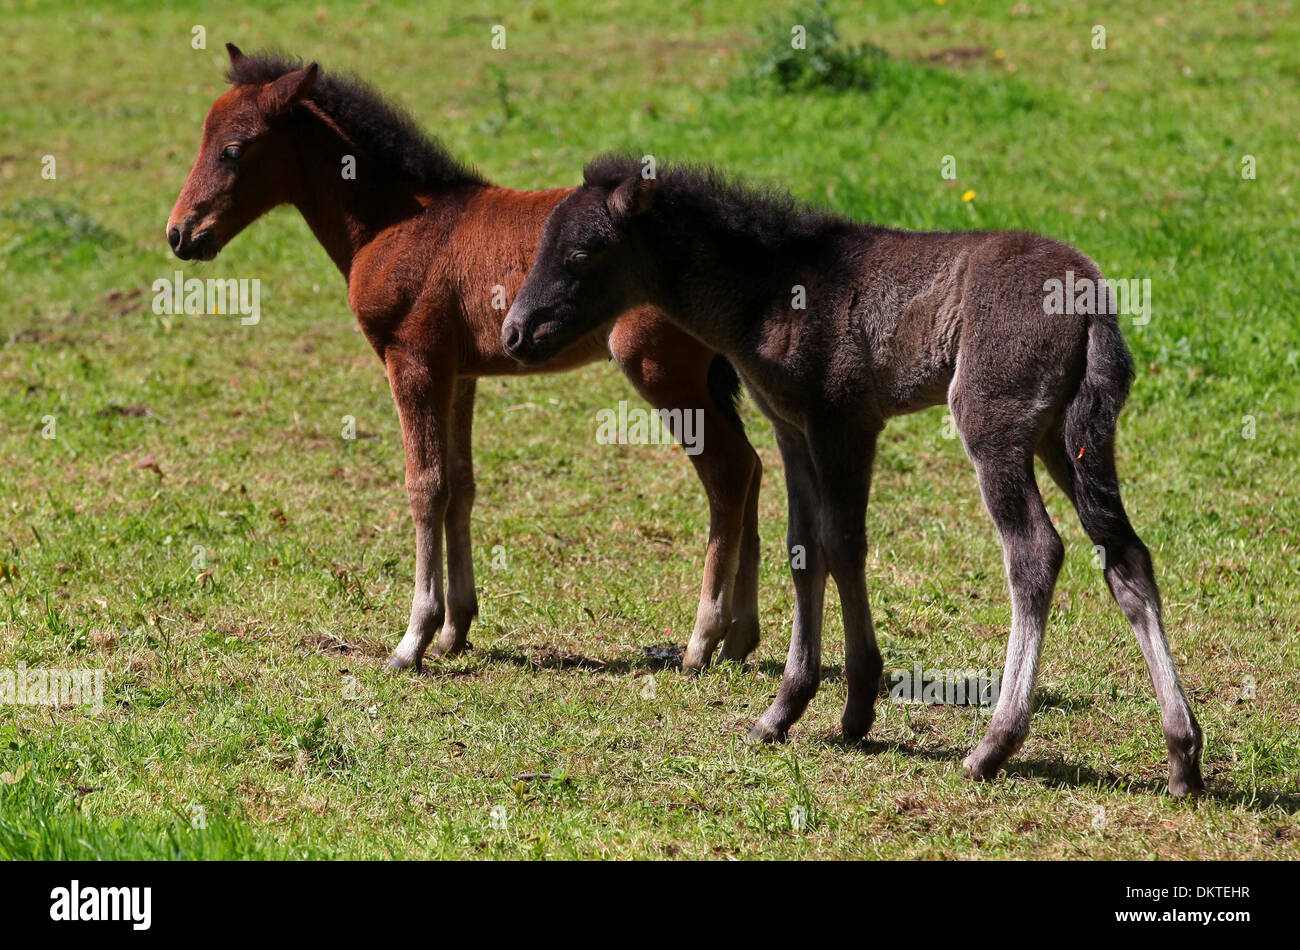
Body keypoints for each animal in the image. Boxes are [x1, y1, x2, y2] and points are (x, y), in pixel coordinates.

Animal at [166, 49, 764, 674]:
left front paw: (413, 639)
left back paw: (702, 640)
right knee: (754, 469)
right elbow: (461, 484)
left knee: (729, 472)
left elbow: (425, 486)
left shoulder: (413, 360)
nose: (180, 234)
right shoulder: (460, 373)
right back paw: (740, 639)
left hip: (660, 370)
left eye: (233, 150)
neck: (396, 222)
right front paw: (455, 630)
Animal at [500, 156, 1204, 796]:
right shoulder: (791, 430)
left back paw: (993, 746)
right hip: (1069, 436)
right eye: (543, 247)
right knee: (1125, 553)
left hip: (993, 422)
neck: (771, 291)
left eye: (583, 253)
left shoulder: (844, 423)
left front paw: (856, 704)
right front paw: (783, 711)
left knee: (1035, 550)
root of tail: (1092, 297)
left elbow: (843, 545)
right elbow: (804, 550)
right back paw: (1182, 755)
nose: (514, 332)